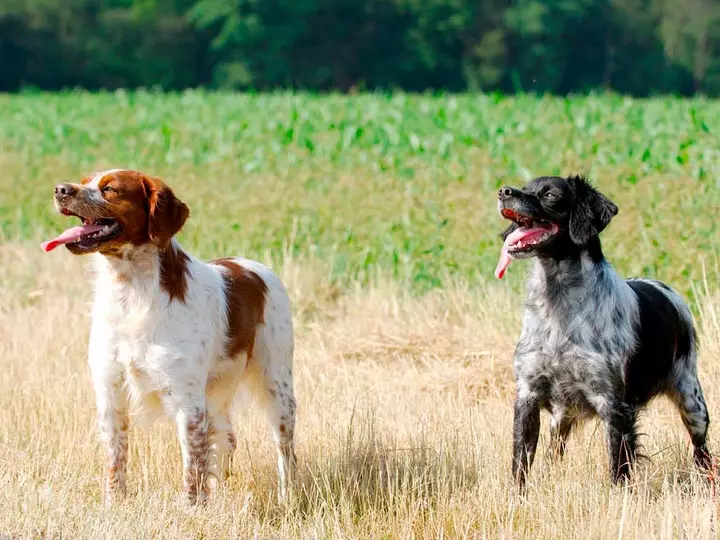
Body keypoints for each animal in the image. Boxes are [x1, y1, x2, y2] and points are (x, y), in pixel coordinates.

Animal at [42, 168, 296, 502]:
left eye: (110, 189)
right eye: (85, 181)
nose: (60, 189)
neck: (131, 293)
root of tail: (255, 266)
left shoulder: (188, 402)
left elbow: (192, 470)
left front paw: (192, 509)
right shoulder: (110, 393)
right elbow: (115, 461)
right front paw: (113, 504)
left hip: (277, 386)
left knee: (285, 452)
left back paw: (287, 497)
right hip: (217, 393)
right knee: (228, 436)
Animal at [496, 175, 716, 488]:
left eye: (550, 195)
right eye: (524, 186)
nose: (504, 191)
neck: (559, 305)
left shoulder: (613, 403)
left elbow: (618, 467)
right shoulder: (528, 394)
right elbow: (520, 463)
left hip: (692, 401)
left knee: (701, 450)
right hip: (560, 417)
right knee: (555, 451)